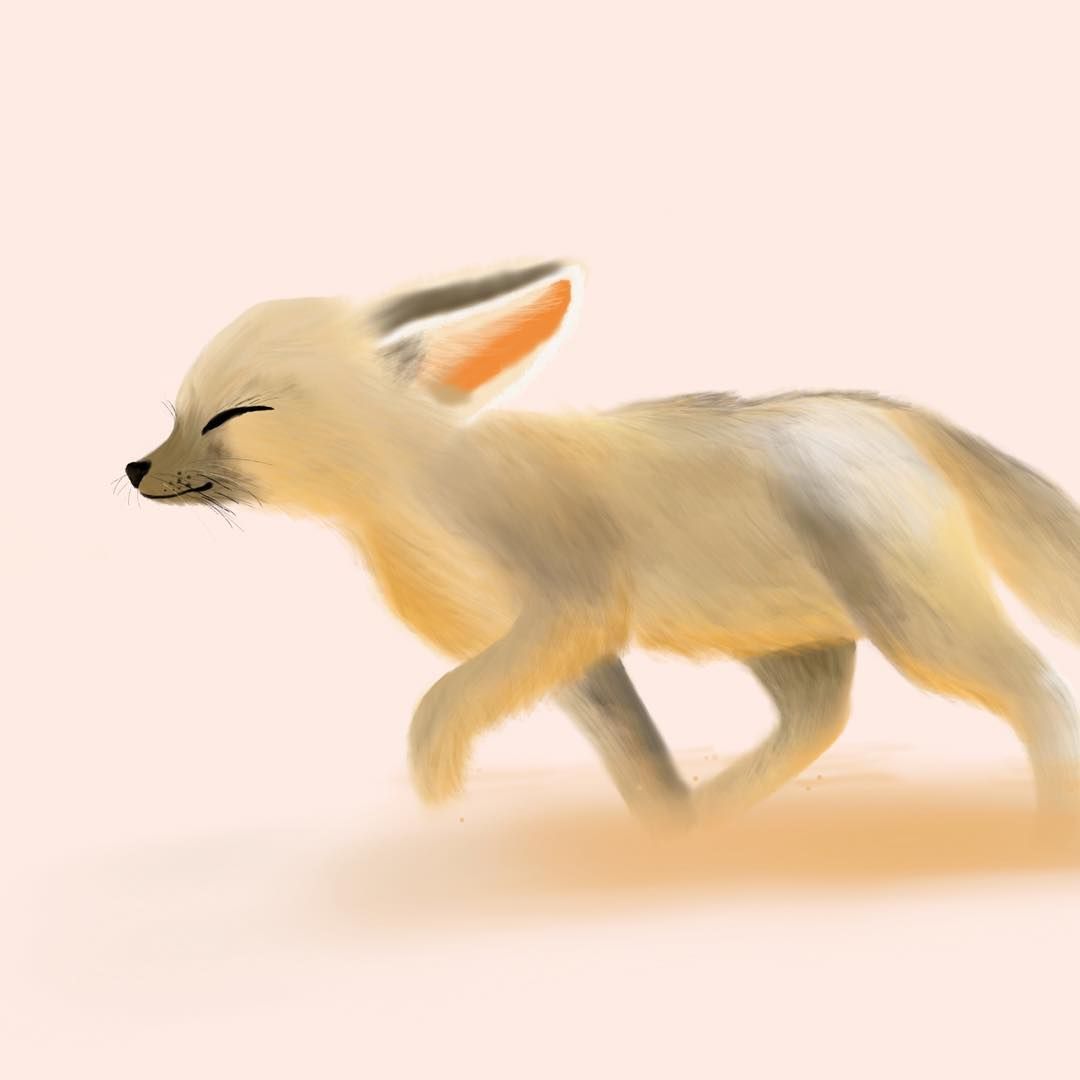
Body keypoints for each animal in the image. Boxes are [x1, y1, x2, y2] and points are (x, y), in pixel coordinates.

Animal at [125, 258, 1080, 831]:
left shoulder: (567, 614)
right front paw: (657, 831)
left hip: (913, 624)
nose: (136, 469)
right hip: (785, 637)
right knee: (821, 718)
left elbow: (437, 708)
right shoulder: (571, 660)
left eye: (232, 415)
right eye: (179, 413)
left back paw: (1046, 824)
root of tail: (888, 412)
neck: (426, 491)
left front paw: (435, 794)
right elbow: (636, 762)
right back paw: (708, 823)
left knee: (1035, 685)